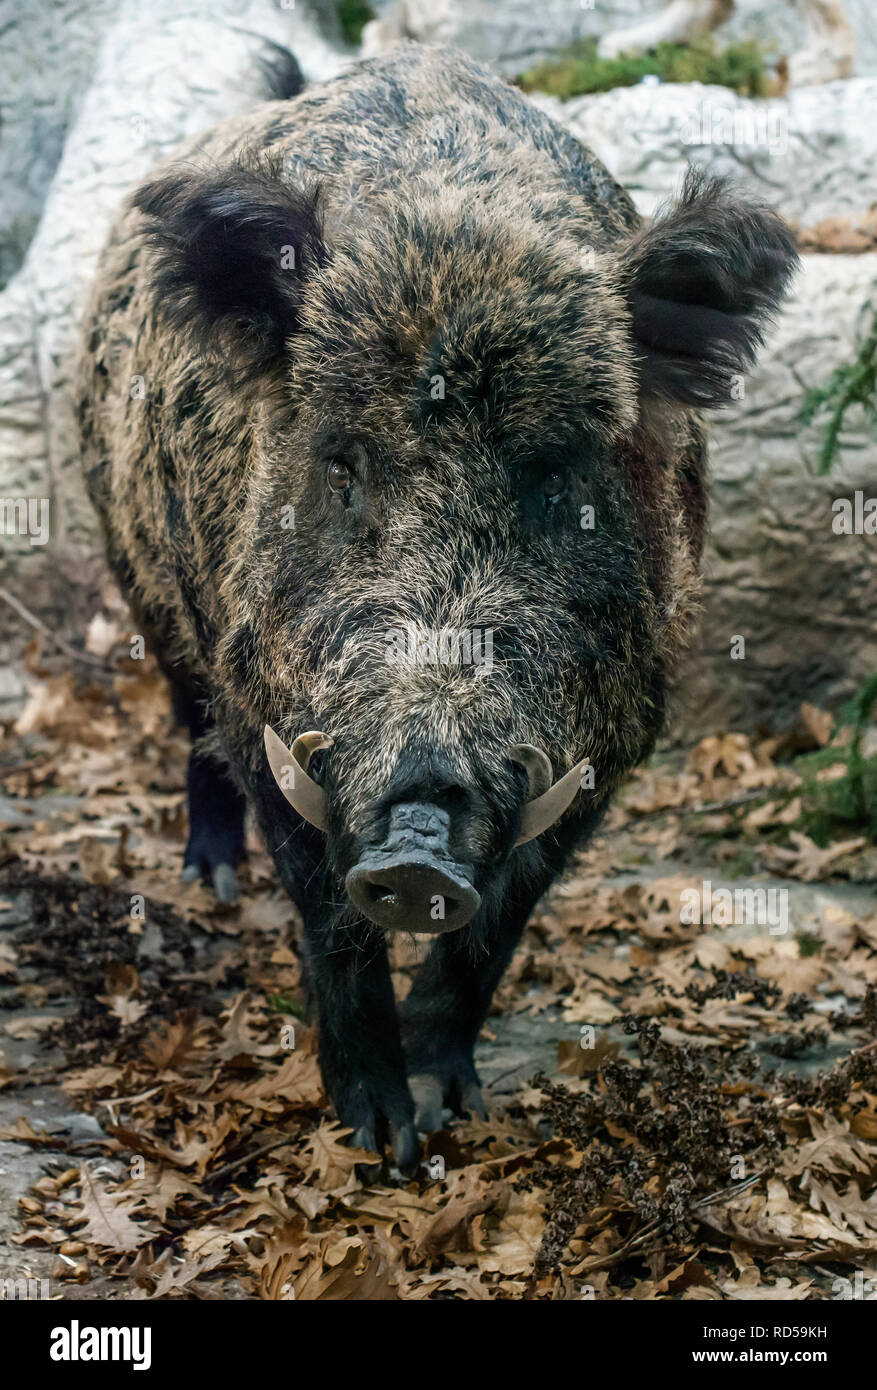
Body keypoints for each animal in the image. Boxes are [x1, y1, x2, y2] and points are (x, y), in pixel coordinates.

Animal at [76, 43, 797, 1173]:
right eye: (342, 465)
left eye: (554, 478)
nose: (418, 838)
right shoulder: (264, 704)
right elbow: (328, 913)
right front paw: (381, 1138)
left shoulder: (621, 731)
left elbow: (499, 925)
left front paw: (451, 1101)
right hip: (138, 567)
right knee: (184, 716)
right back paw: (211, 882)